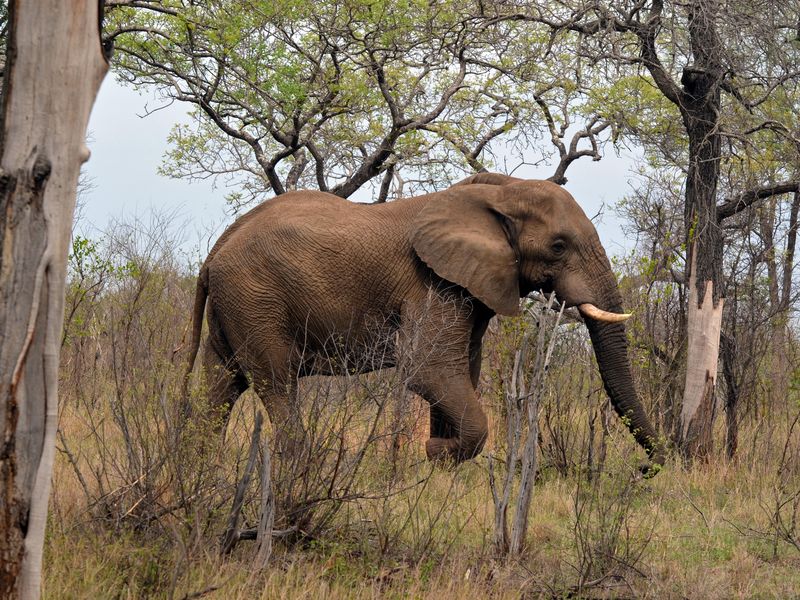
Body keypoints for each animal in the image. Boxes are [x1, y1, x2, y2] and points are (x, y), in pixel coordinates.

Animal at [184, 172, 666, 468]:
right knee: (276, 382)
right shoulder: (432, 282)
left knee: (221, 382)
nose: (648, 469)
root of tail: (214, 253)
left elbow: (460, 372)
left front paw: (439, 467)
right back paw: (299, 470)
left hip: (236, 305)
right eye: (559, 246)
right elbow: (429, 371)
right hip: (255, 299)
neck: (498, 191)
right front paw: (437, 452)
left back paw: (199, 468)